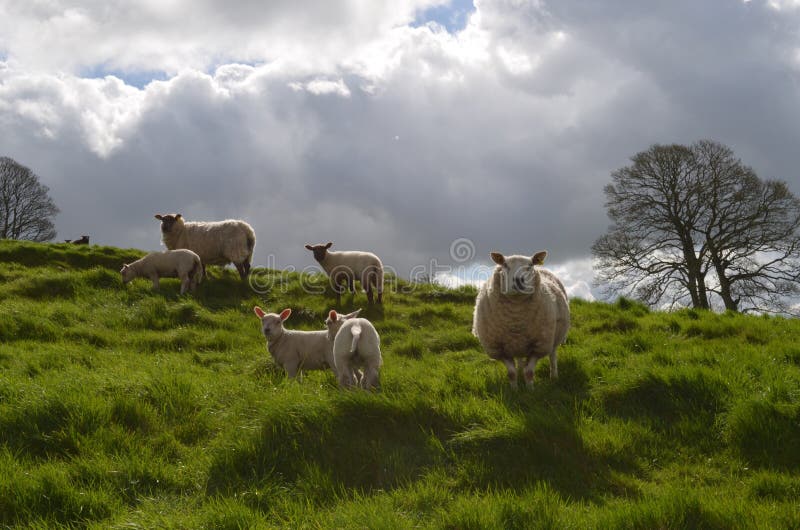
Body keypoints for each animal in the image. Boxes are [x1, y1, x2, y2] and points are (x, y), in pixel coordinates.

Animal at [472, 250, 570, 389]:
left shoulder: (539, 346)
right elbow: (511, 373)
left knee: (553, 355)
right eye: (505, 265)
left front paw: (530, 389)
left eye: (530, 265)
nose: (518, 280)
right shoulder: (499, 349)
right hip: (517, 344)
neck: (516, 316)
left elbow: (529, 372)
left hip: (554, 338)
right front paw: (515, 389)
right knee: (519, 359)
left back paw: (554, 376)